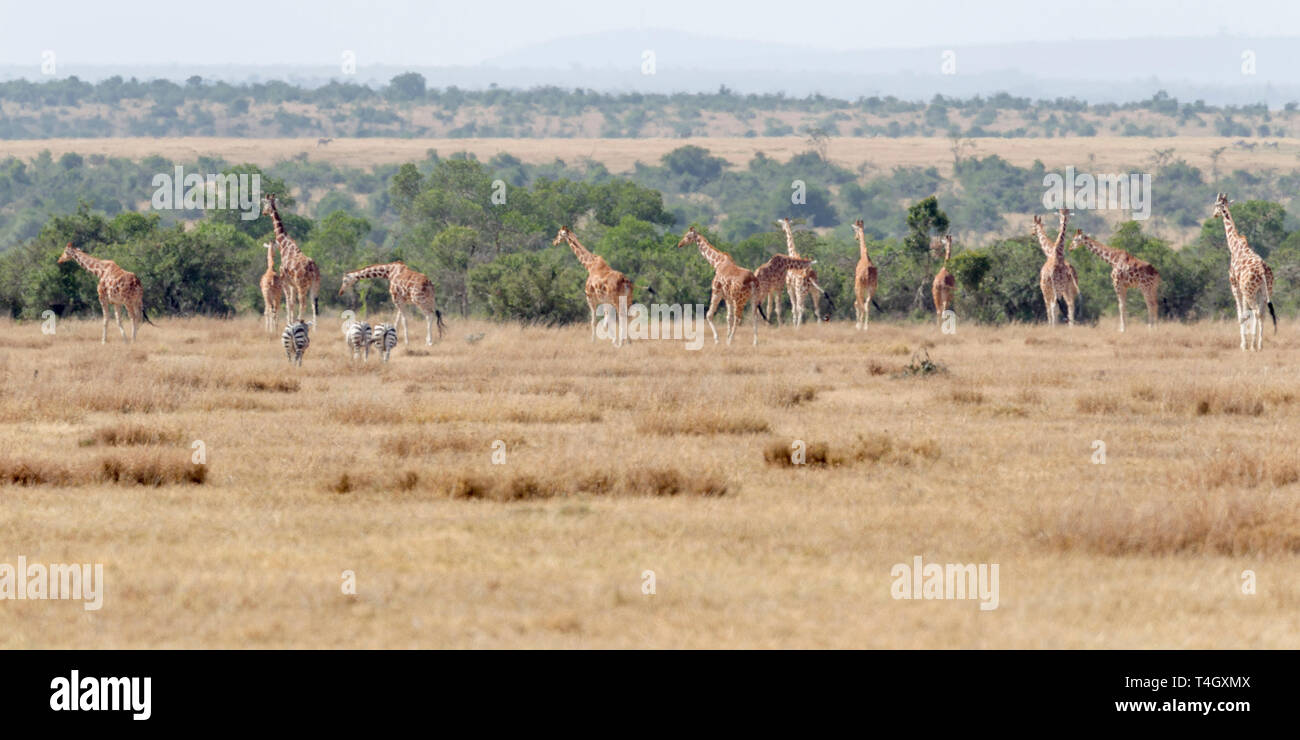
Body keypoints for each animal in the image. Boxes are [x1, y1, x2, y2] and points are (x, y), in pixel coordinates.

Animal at [262, 194, 321, 324]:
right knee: (314, 304)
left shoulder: (285, 281)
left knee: (303, 303)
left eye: (265, 204)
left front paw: (289, 322)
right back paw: (313, 326)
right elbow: (292, 302)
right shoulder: (291, 284)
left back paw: (301, 320)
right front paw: (291, 322)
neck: (284, 244)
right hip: (315, 284)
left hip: (302, 285)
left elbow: (289, 302)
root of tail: (313, 267)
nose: (263, 212)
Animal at [1213, 193, 1276, 351]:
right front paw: (1247, 343)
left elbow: (1240, 314)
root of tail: (1262, 271)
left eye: (1216, 205)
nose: (1214, 215)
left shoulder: (1235, 286)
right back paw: (1259, 344)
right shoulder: (1245, 290)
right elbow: (1247, 314)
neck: (1234, 246)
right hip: (1265, 291)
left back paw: (1253, 345)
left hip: (1249, 291)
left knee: (1256, 312)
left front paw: (1243, 344)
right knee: (1262, 313)